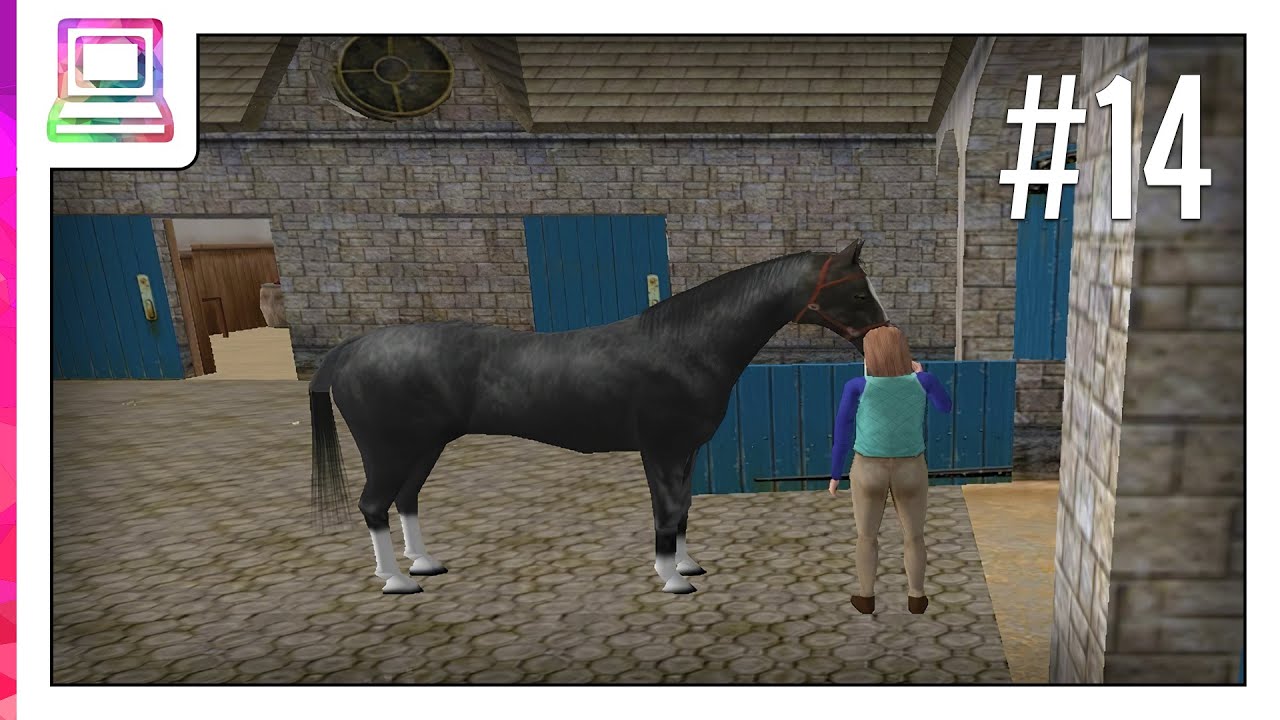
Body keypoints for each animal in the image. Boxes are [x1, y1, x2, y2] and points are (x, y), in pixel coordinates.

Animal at [308, 238, 889, 595]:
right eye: (858, 291)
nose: (883, 338)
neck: (684, 345)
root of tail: (351, 348)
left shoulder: (685, 451)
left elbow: (684, 509)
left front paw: (685, 563)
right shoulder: (662, 449)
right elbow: (667, 511)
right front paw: (673, 579)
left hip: (425, 446)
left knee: (406, 499)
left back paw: (424, 563)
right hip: (388, 448)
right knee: (374, 505)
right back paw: (398, 581)